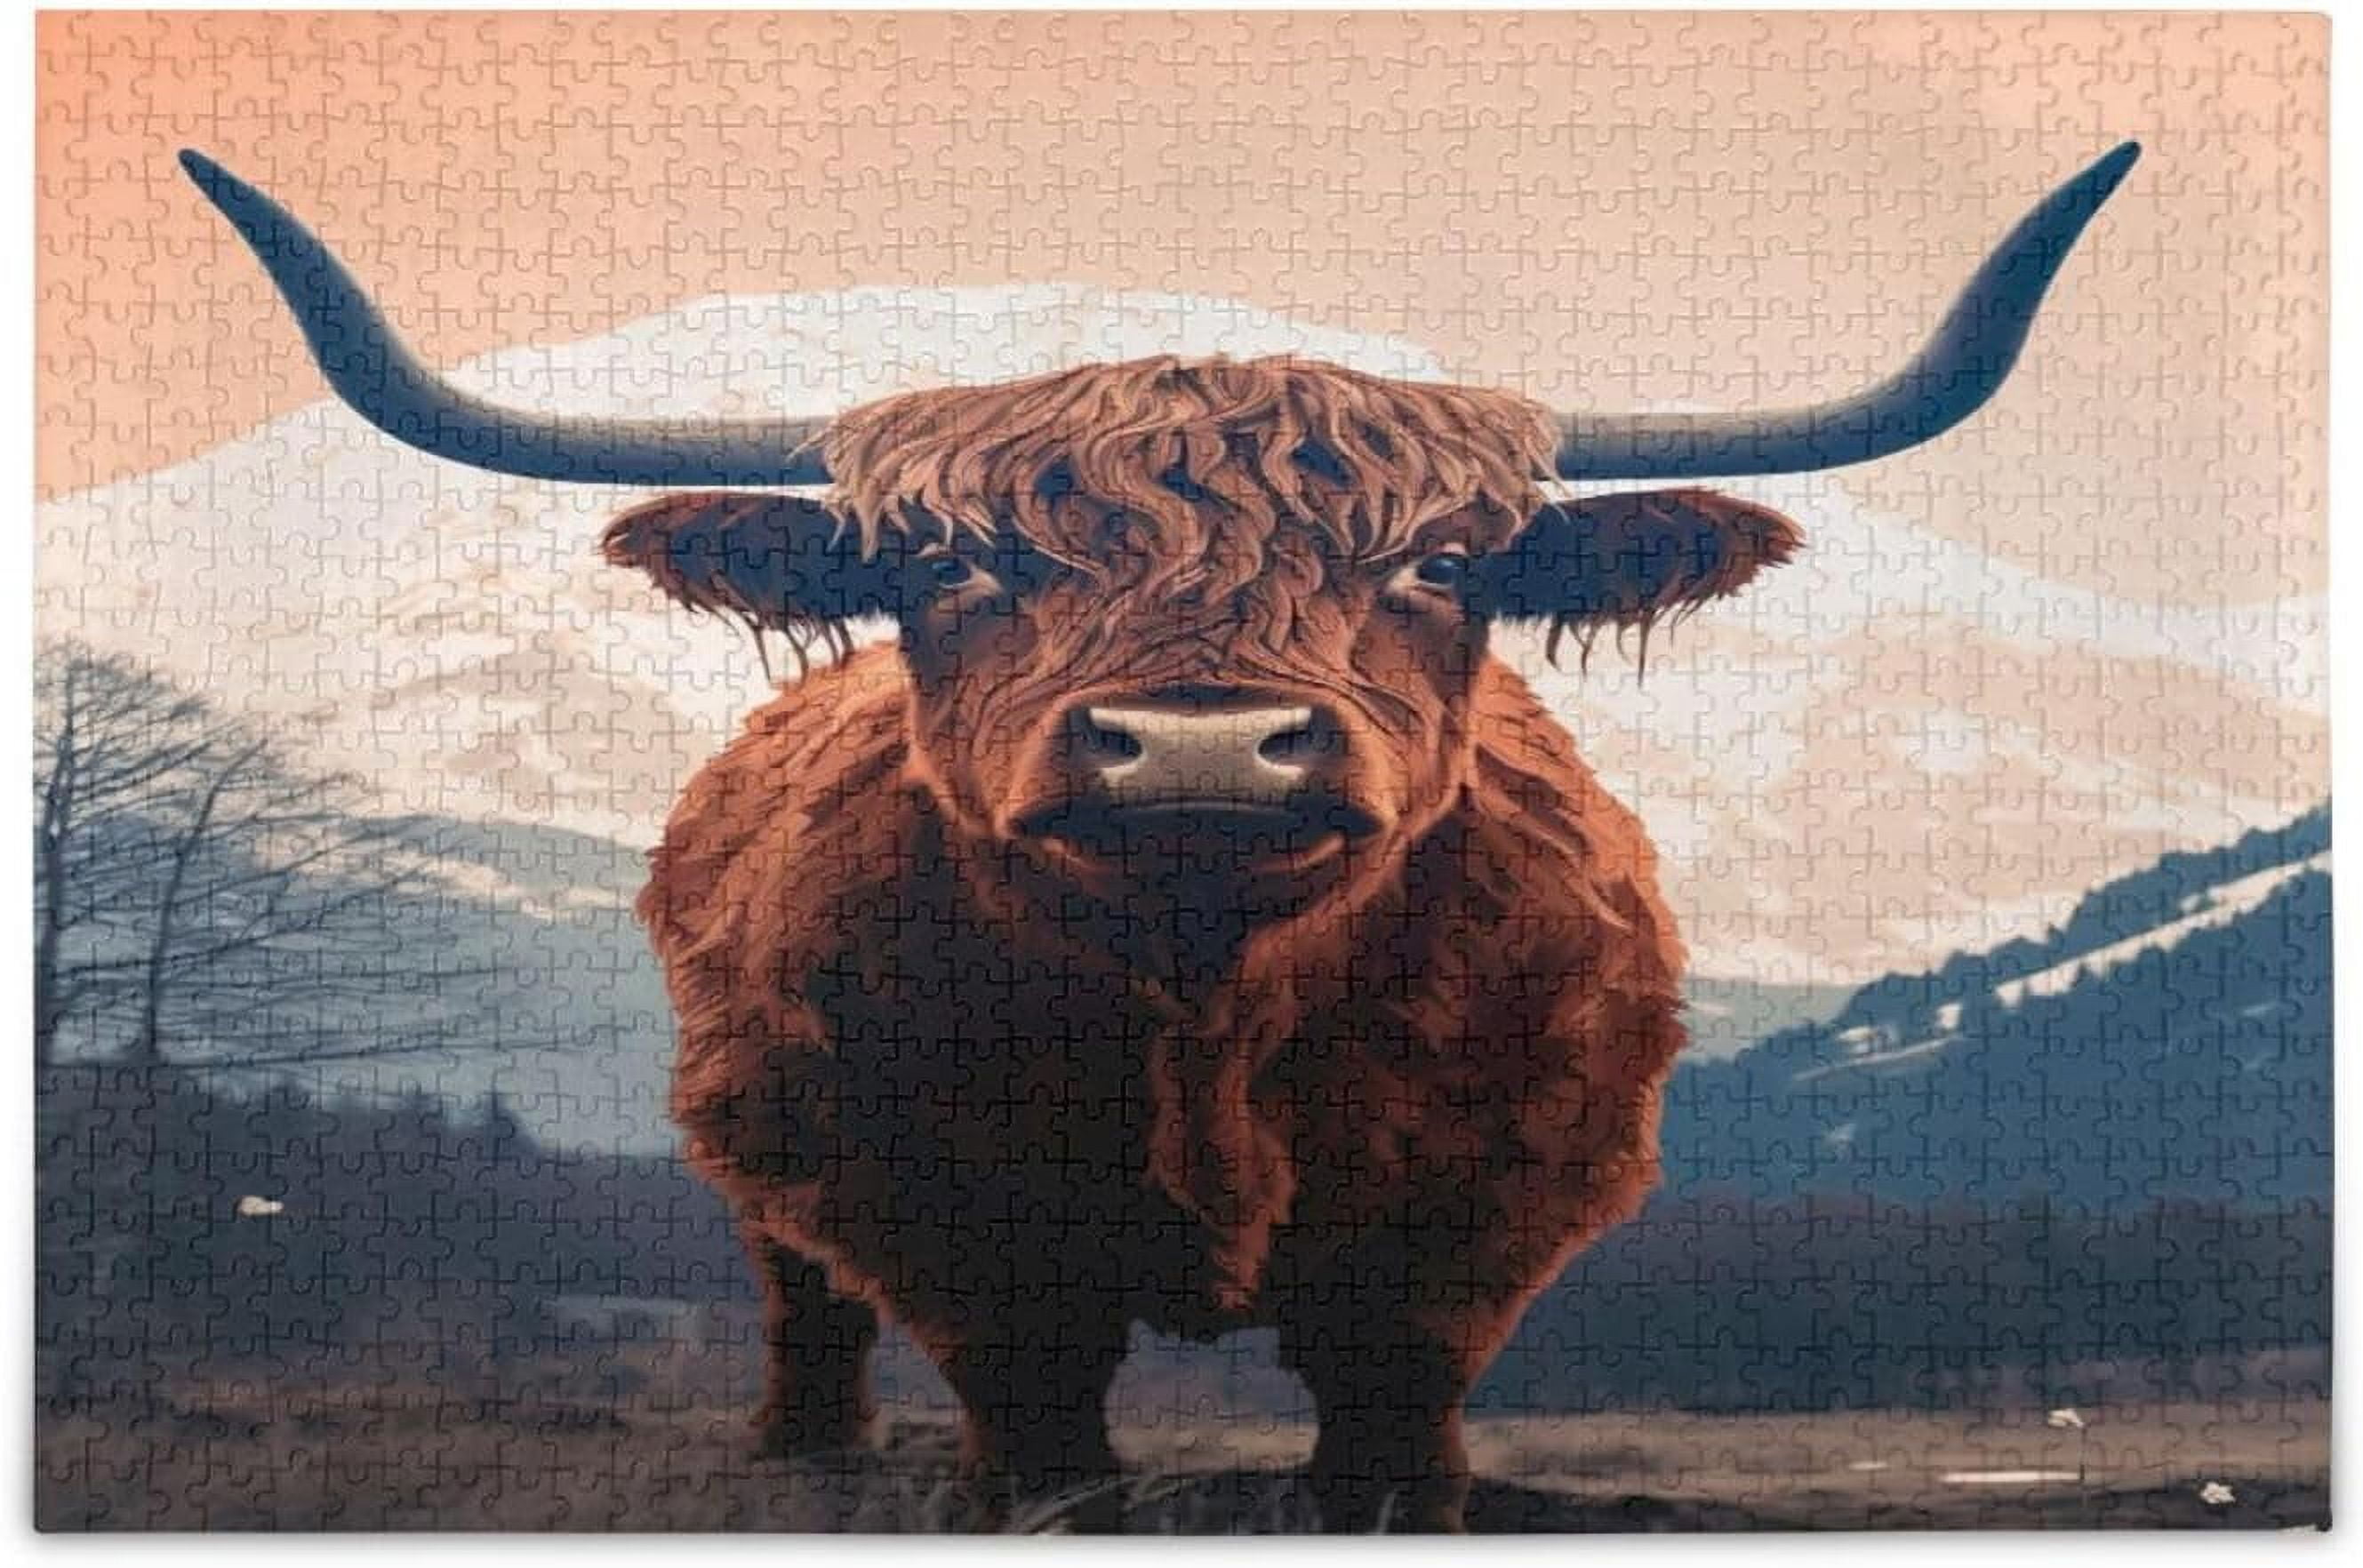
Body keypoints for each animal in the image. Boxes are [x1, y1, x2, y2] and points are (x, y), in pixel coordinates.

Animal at [182, 142, 2136, 1531]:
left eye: (1440, 564)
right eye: (953, 566)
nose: (1201, 746)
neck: (1205, 1013)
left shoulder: (1473, 1232)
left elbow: (1387, 1439)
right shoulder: (943, 1224)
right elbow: (1040, 1431)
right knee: (799, 1300)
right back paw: (806, 1450)